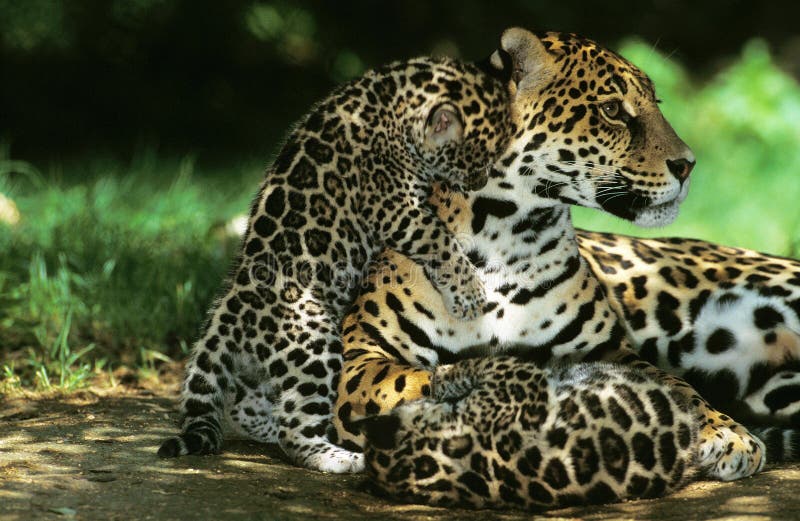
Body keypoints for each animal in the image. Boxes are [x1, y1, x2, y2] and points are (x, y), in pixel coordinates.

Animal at [157, 55, 513, 472]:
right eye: (477, 157)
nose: (481, 180)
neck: (396, 99)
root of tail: (230, 309)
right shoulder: (395, 209)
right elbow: (439, 240)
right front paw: (469, 292)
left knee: (250, 405)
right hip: (313, 343)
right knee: (295, 431)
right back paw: (338, 457)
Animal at [334, 27, 796, 486]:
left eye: (657, 104)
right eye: (612, 110)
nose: (688, 165)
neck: (505, 232)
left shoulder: (611, 351)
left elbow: (676, 387)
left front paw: (728, 433)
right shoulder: (359, 361)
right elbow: (422, 380)